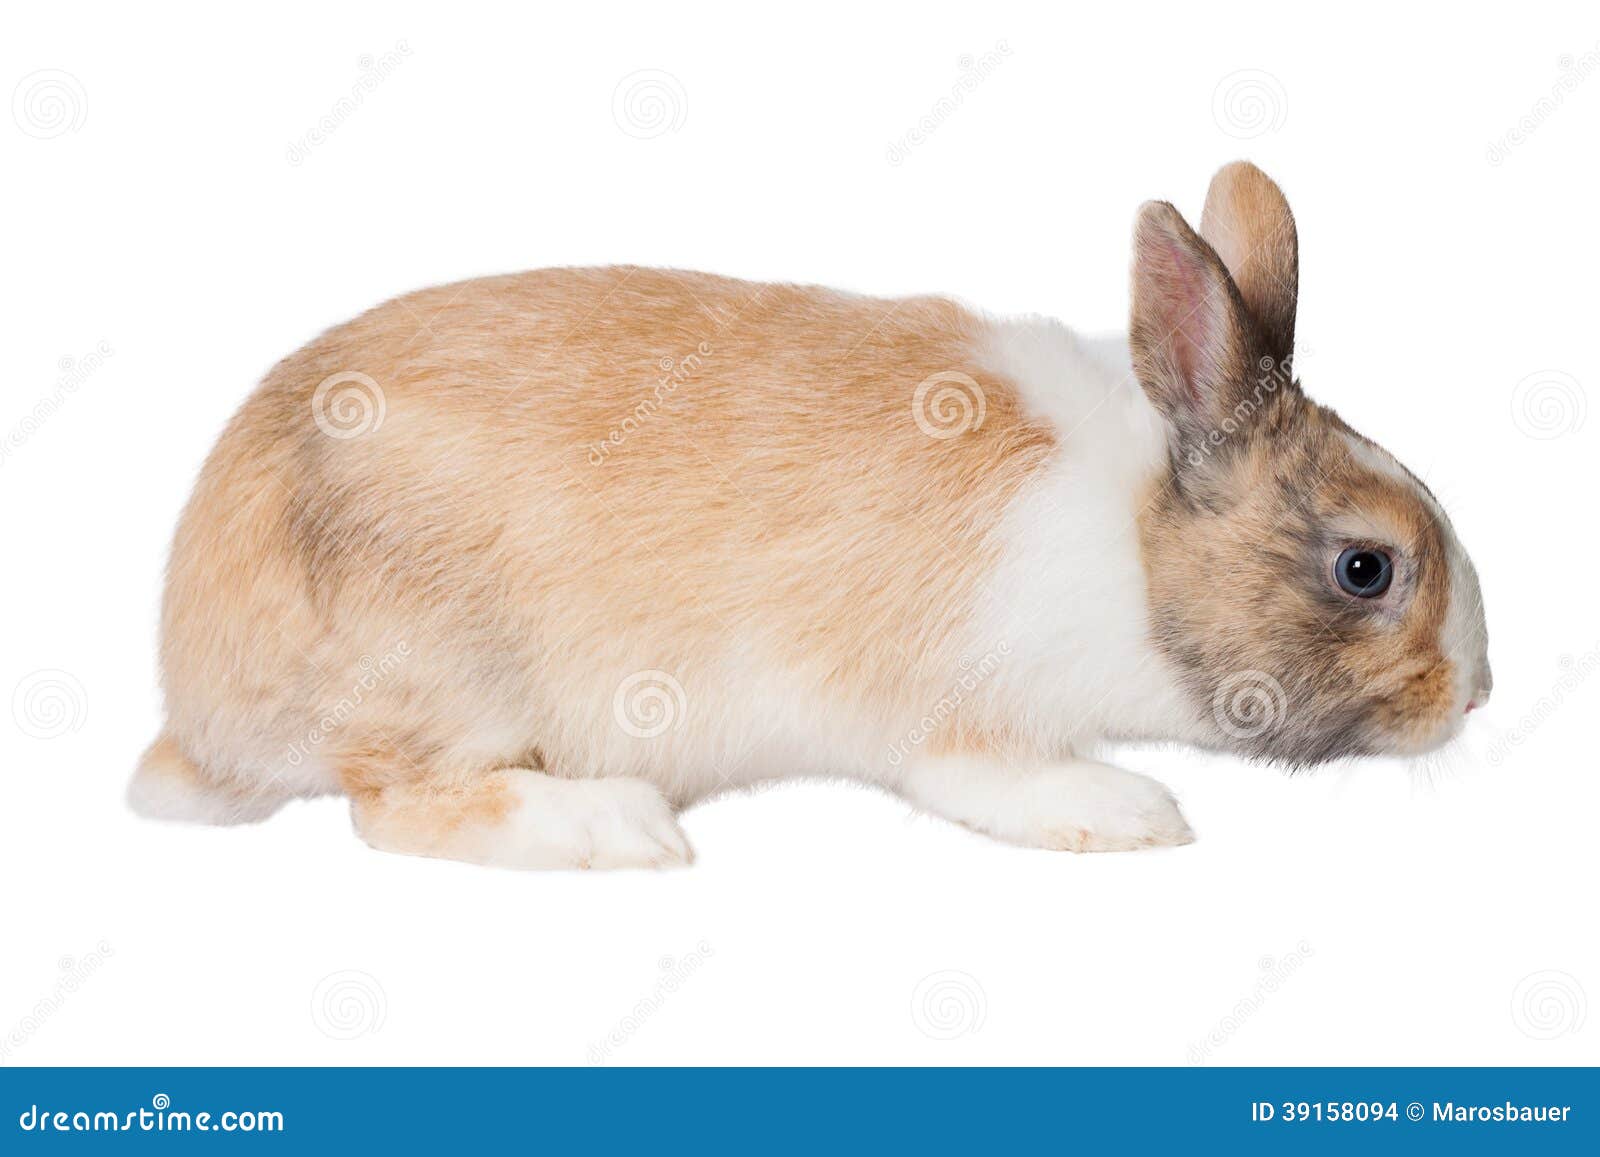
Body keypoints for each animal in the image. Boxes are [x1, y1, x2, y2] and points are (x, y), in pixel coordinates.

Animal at [129, 162, 1491, 868]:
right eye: (1366, 568)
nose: (1475, 692)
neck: (1140, 539)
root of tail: (198, 705)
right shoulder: (954, 714)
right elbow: (989, 778)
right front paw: (1127, 812)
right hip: (441, 680)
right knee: (389, 804)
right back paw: (617, 824)